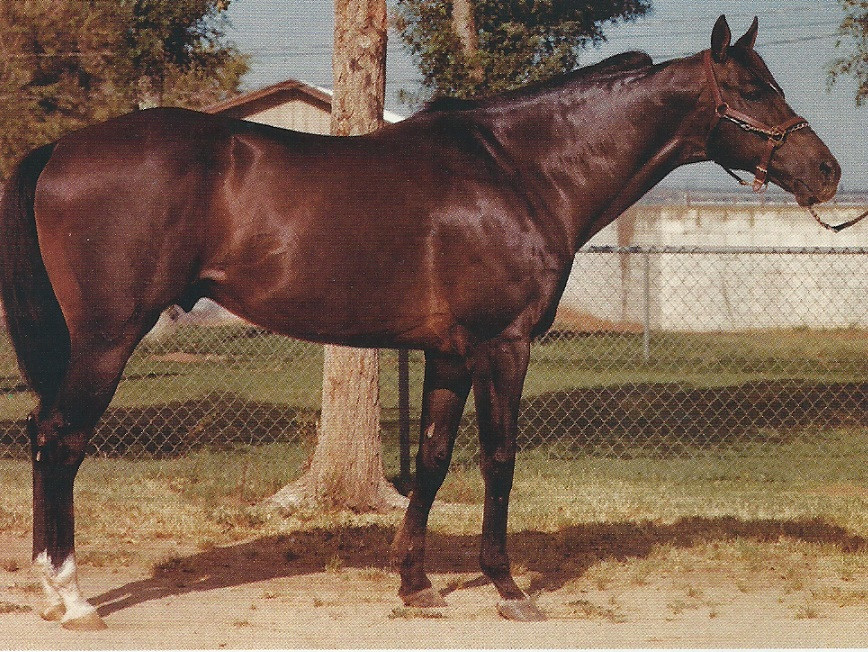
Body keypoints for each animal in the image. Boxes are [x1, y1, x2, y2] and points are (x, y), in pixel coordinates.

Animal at [0, 16, 840, 629]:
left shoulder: (449, 351)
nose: (829, 172)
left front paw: (416, 584)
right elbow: (498, 458)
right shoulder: (504, 344)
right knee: (60, 440)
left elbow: (434, 460)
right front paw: (508, 589)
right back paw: (71, 597)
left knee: (48, 438)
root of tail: (60, 148)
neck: (520, 170)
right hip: (108, 339)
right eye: (754, 88)